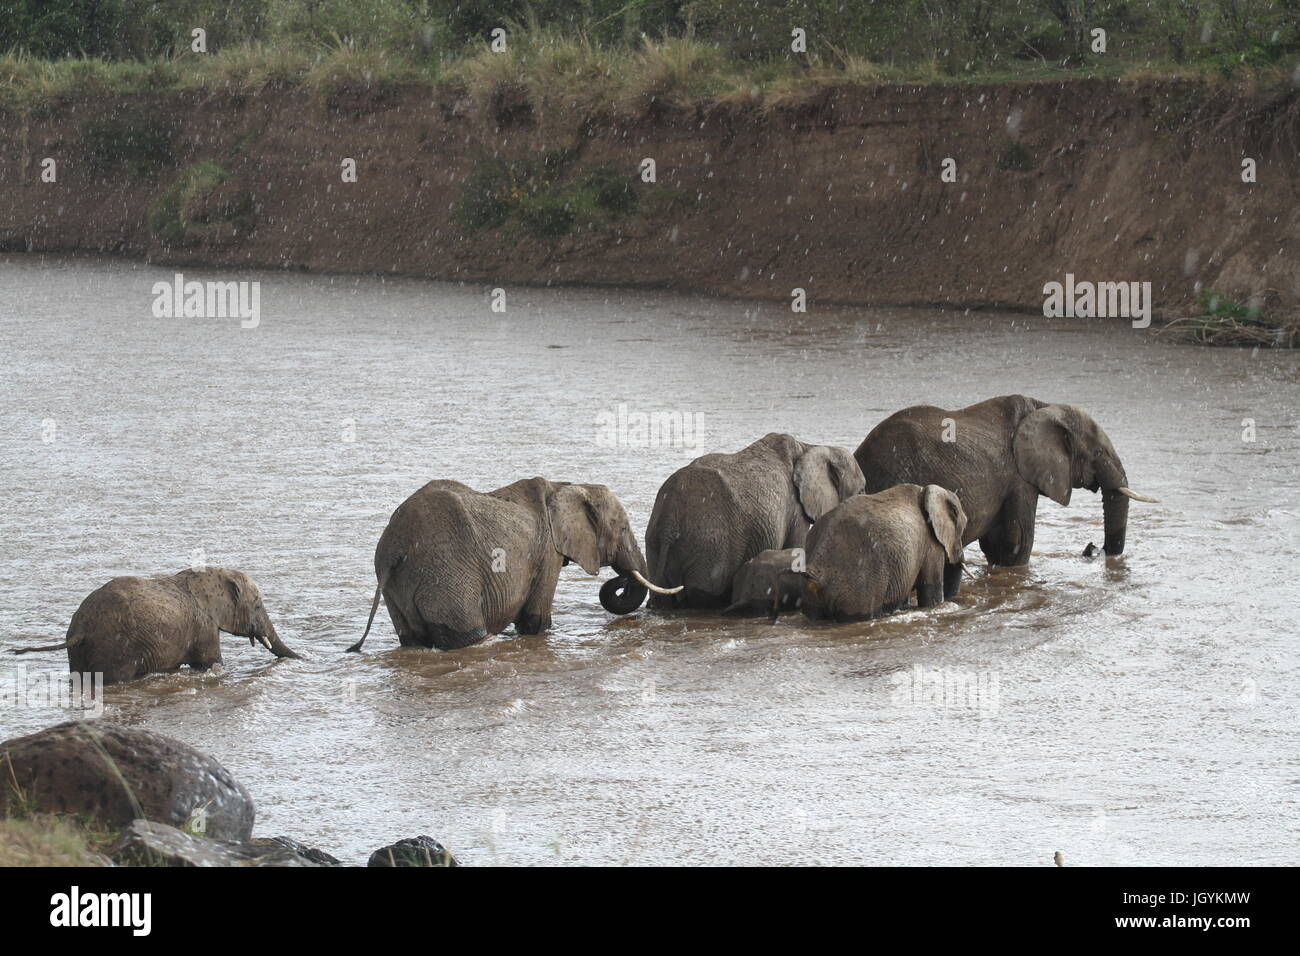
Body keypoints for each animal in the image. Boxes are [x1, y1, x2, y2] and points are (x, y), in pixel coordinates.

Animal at [12, 568, 298, 684]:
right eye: (258, 606)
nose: (302, 659)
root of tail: (81, 626)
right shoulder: (204, 625)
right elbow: (211, 663)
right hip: (115, 645)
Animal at [347, 477, 680, 652]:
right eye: (622, 528)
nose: (619, 579)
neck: (567, 485)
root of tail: (395, 547)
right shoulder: (547, 553)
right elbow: (535, 620)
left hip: (395, 587)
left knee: (411, 640)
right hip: (446, 576)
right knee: (468, 636)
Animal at [644, 433, 866, 609]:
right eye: (861, 491)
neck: (809, 447)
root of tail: (668, 522)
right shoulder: (794, 508)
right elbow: (796, 547)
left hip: (656, 546)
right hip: (709, 546)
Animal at [854, 395, 1157, 591]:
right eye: (1098, 453)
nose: (1093, 547)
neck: (1045, 407)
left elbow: (996, 543)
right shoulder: (1018, 477)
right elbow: (1017, 541)